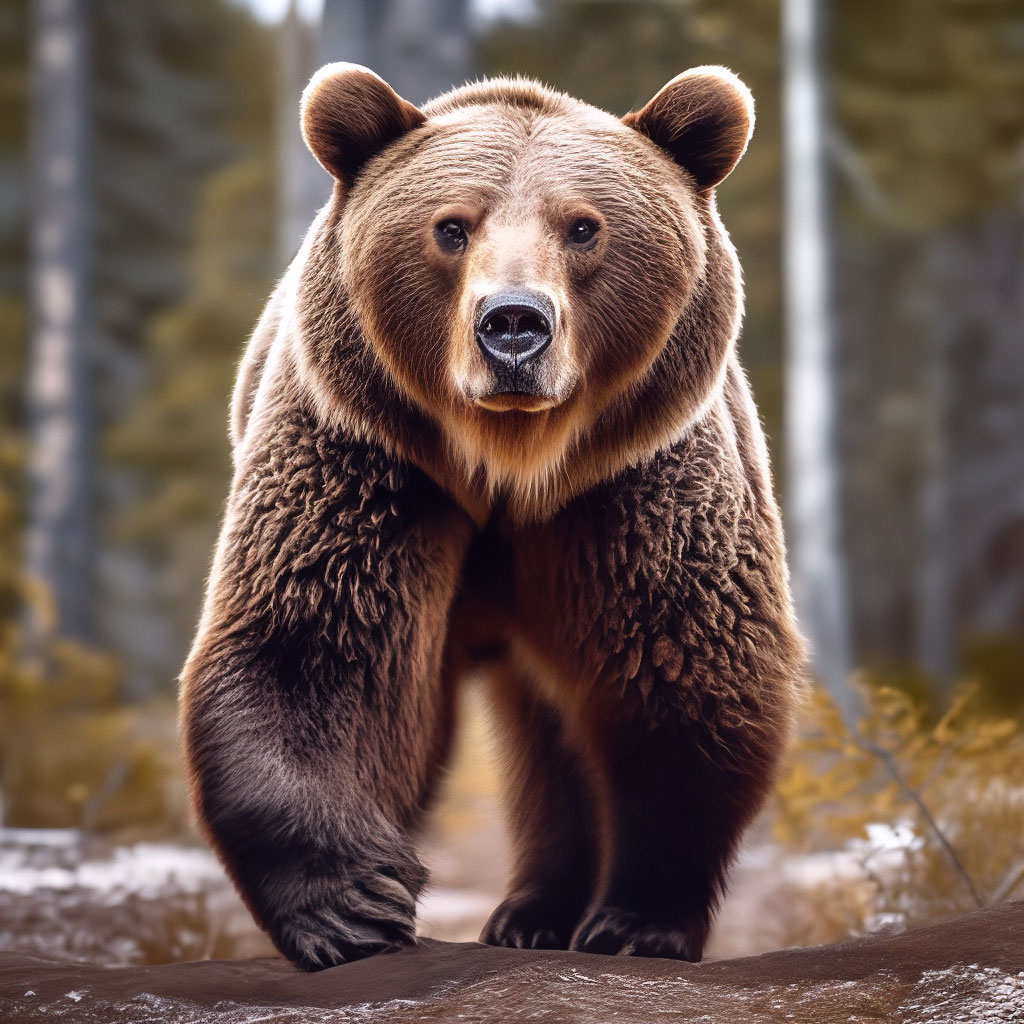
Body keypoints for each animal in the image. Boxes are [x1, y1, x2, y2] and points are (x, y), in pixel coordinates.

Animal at [180, 62, 804, 971]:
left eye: (583, 227)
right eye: (450, 226)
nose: (513, 324)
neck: (508, 466)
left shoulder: (635, 491)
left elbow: (683, 668)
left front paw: (637, 923)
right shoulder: (366, 460)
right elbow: (307, 646)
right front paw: (356, 907)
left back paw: (535, 912)